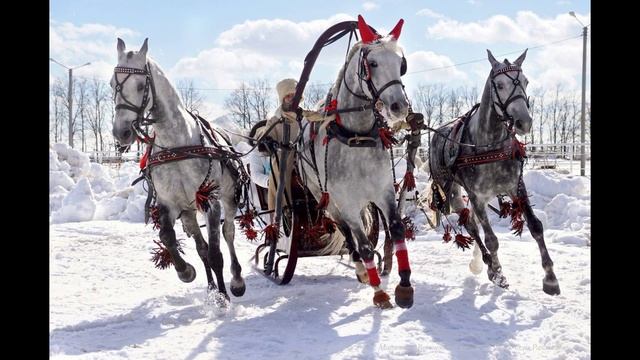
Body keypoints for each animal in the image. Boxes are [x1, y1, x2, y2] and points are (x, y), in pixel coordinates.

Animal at [300, 16, 416, 308]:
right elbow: (363, 245)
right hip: (326, 197)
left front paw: (404, 285)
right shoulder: (348, 202)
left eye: (401, 63)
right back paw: (363, 269)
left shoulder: (384, 192)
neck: (357, 136)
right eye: (372, 63)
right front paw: (380, 292)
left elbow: (396, 229)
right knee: (346, 231)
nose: (399, 106)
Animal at [430, 48, 560, 296]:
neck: (489, 144)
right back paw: (487, 263)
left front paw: (550, 278)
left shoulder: (516, 187)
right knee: (471, 226)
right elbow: (491, 239)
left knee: (473, 221)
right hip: (452, 190)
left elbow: (535, 226)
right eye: (499, 85)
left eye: (526, 82)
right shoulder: (476, 196)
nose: (524, 122)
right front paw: (498, 273)